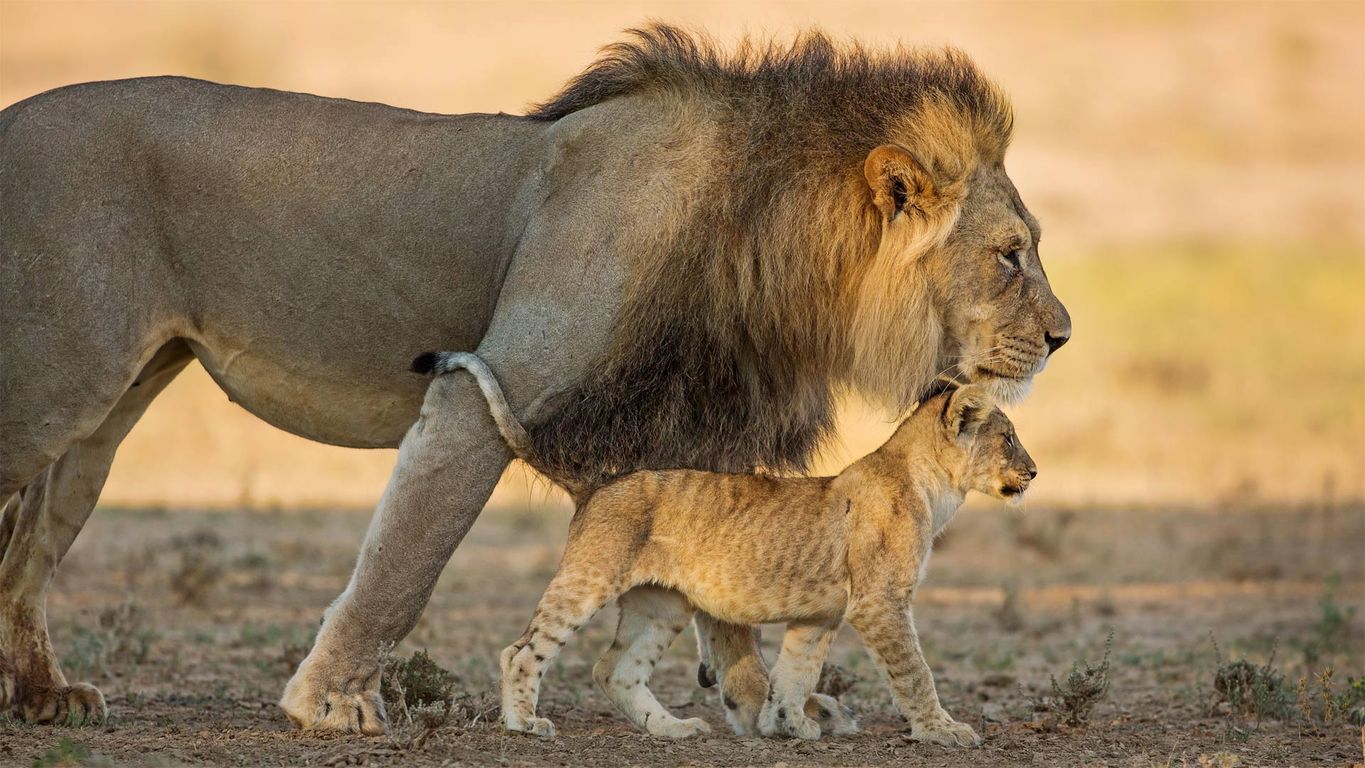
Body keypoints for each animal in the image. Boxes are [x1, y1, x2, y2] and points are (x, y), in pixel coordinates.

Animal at [440, 350, 1034, 744]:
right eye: (1007, 438)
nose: (1032, 471)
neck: (933, 490)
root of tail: (599, 482)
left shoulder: (820, 616)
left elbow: (795, 674)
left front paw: (790, 725)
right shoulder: (880, 604)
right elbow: (914, 671)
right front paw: (944, 730)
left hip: (661, 604)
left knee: (614, 668)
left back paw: (673, 729)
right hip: (590, 576)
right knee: (523, 650)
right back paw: (524, 723)